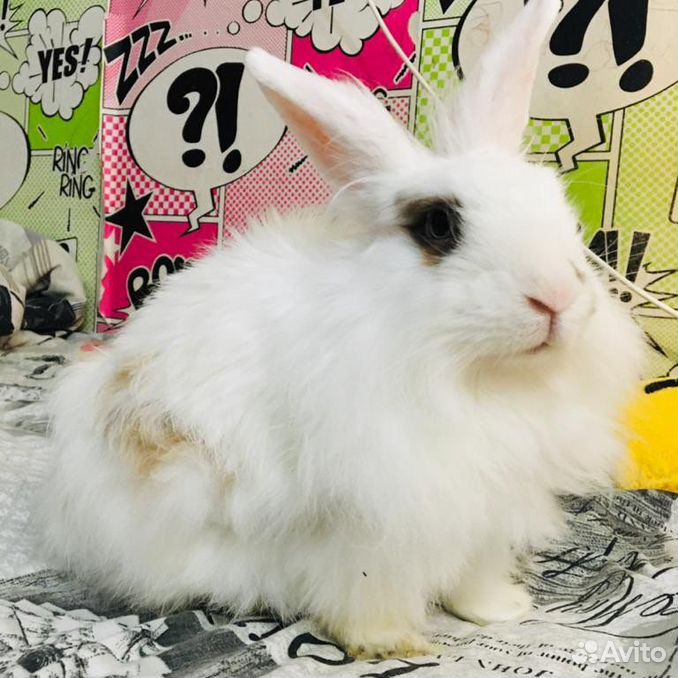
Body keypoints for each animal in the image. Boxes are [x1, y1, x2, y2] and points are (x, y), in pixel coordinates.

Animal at [39, 0, 644, 660]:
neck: (472, 376)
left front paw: (502, 611)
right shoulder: (372, 520)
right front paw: (391, 644)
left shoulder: (489, 507)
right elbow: (367, 586)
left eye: (559, 209)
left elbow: (475, 573)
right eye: (438, 225)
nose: (557, 298)